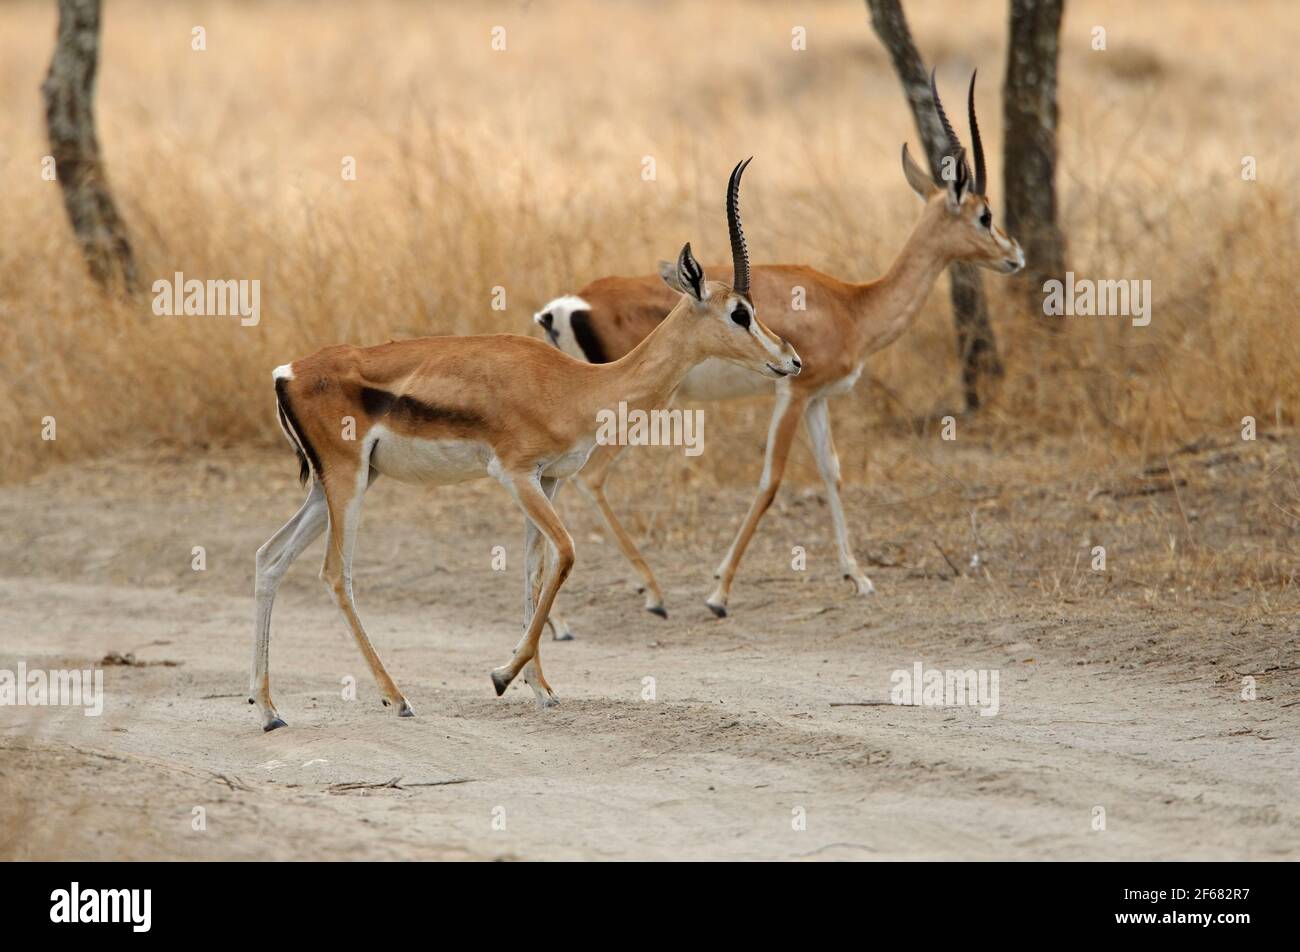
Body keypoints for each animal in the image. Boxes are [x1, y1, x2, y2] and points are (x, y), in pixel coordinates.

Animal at [249, 160, 800, 730]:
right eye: (739, 313)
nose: (792, 359)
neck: (577, 387)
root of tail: (287, 372)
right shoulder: (516, 475)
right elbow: (567, 553)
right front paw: (501, 676)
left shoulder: (548, 480)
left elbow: (536, 569)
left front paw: (540, 687)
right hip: (347, 482)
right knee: (336, 574)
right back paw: (396, 698)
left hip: (330, 488)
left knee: (269, 557)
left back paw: (269, 710)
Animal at [534, 71, 1023, 621]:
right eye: (985, 215)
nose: (1016, 255)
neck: (852, 305)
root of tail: (563, 306)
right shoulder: (793, 392)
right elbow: (770, 480)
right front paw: (719, 592)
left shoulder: (817, 398)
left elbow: (832, 471)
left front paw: (858, 577)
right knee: (589, 479)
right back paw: (648, 596)